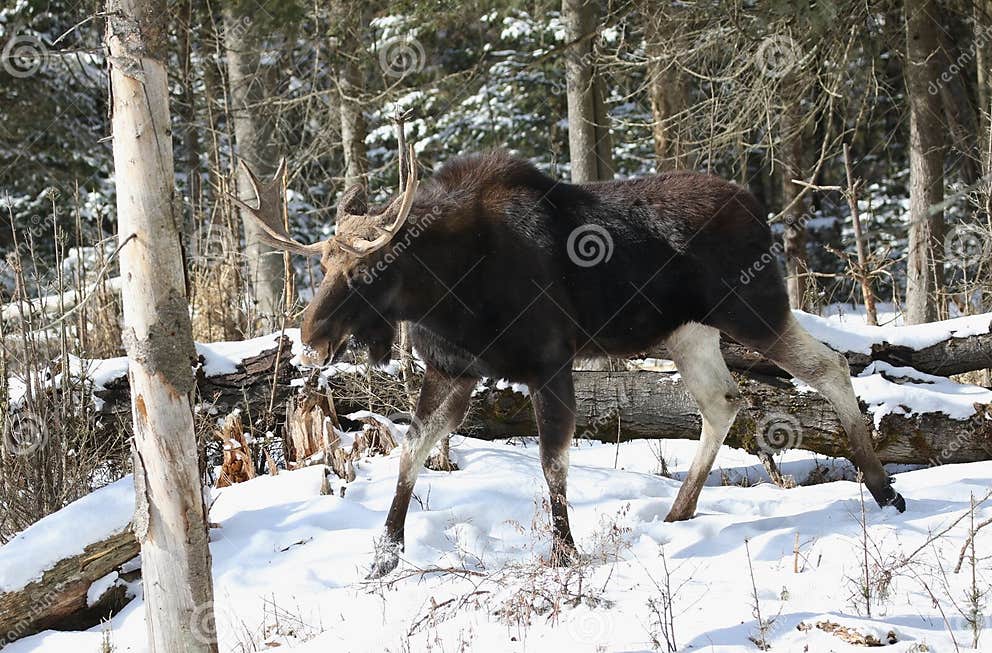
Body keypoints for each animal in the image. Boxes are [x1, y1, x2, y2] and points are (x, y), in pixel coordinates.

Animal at [231, 145, 906, 579]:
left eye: (369, 267)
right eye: (323, 264)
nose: (310, 337)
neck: (448, 290)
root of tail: (760, 209)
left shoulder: (549, 362)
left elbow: (552, 463)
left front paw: (564, 553)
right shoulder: (455, 369)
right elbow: (411, 451)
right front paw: (384, 553)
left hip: (752, 308)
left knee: (829, 366)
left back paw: (883, 487)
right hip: (689, 332)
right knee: (724, 400)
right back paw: (680, 508)